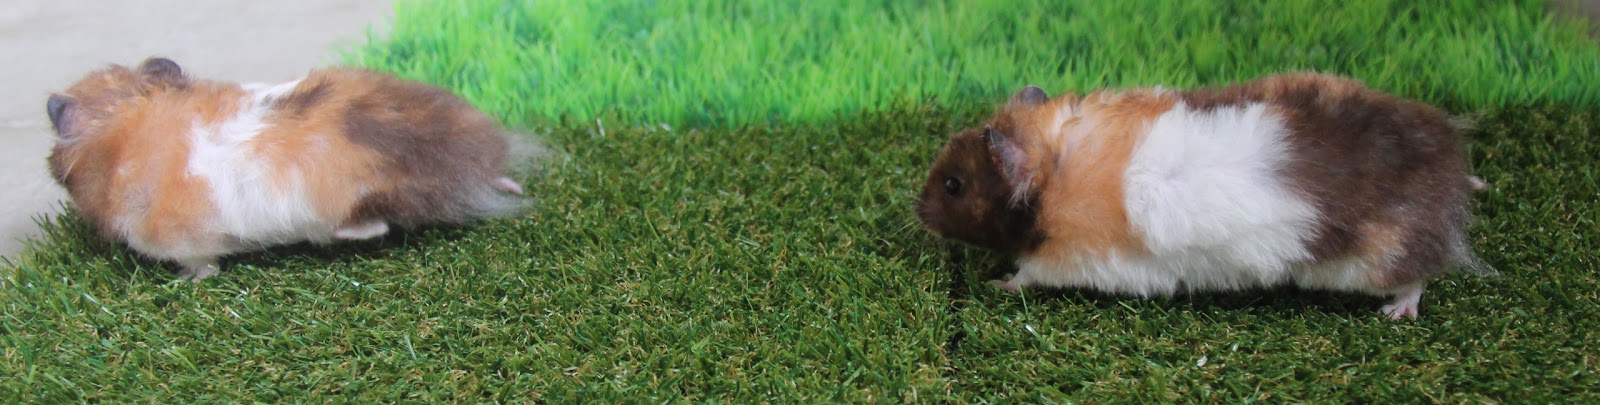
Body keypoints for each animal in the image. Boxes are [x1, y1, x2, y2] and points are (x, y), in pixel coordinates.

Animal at [46, 57, 537, 280]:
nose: (52, 102)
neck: (124, 117)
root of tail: (468, 160)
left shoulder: (183, 243)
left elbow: (204, 268)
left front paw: (183, 282)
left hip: (335, 214)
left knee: (369, 227)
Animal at [916, 73, 1490, 319]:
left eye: (953, 186)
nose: (916, 211)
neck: (1051, 180)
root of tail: (1447, 170)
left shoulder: (1065, 259)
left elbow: (1027, 275)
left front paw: (996, 283)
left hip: (1370, 261)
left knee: (1416, 278)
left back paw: (1398, 313)